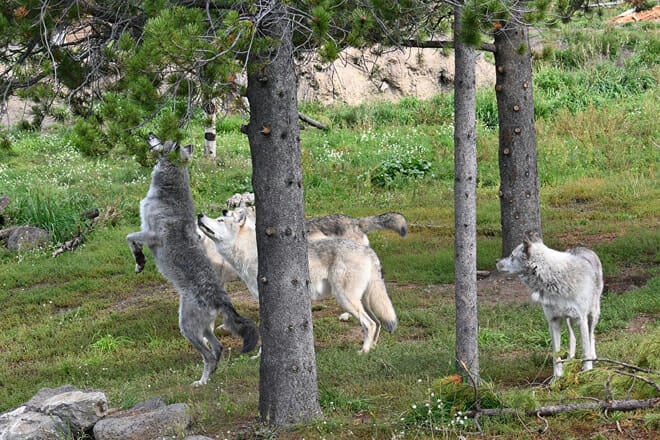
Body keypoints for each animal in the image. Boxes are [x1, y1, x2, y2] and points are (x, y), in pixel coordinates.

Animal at [126, 133, 258, 386]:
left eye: (162, 139)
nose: (149, 134)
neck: (168, 188)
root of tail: (221, 298)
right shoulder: (146, 231)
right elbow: (131, 239)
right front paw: (139, 262)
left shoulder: (151, 234)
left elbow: (129, 238)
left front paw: (139, 260)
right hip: (203, 329)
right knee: (218, 349)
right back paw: (208, 378)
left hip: (187, 327)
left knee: (210, 354)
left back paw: (201, 382)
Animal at [197, 208, 398, 353]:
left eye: (220, 220)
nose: (200, 215)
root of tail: (368, 251)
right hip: (362, 300)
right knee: (377, 323)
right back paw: (372, 348)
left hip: (346, 300)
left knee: (369, 324)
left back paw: (363, 352)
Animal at [496, 233, 603, 378]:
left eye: (512, 256)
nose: (496, 261)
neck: (553, 279)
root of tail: (582, 247)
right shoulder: (553, 321)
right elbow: (555, 355)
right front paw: (557, 377)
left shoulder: (581, 319)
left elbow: (585, 350)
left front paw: (587, 372)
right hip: (568, 319)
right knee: (573, 337)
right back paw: (570, 359)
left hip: (592, 315)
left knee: (591, 336)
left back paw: (593, 357)